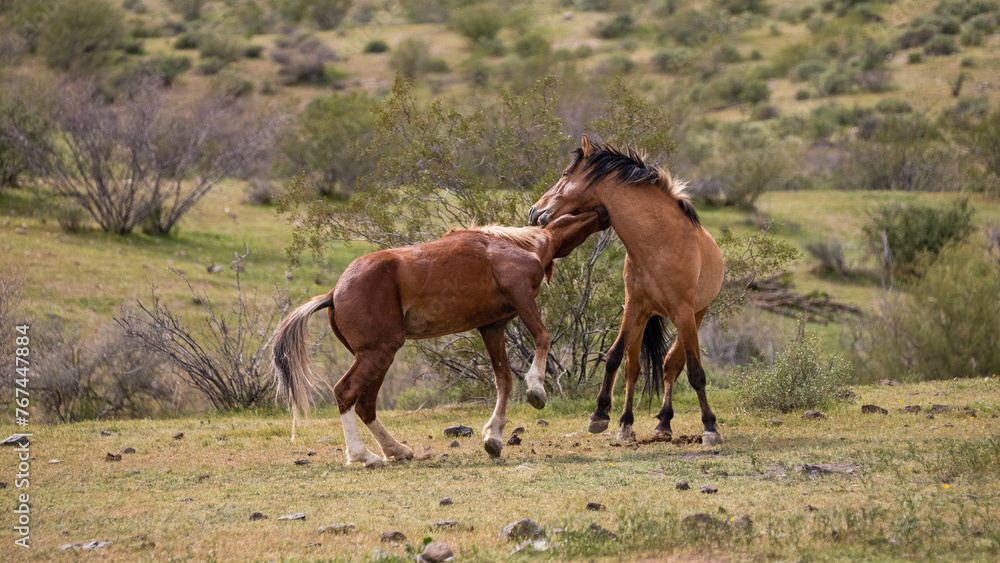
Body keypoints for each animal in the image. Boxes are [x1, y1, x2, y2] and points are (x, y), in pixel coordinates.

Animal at [272, 208, 610, 466]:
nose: (608, 218)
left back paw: (396, 450)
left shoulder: (493, 326)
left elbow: (503, 379)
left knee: (365, 404)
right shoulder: (521, 296)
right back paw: (363, 456)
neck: (524, 245)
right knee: (345, 393)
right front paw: (536, 391)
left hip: (379, 356)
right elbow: (542, 337)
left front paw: (494, 438)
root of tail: (334, 292)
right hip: (376, 354)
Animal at [529, 136, 725, 445]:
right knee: (634, 369)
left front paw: (710, 427)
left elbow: (694, 372)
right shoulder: (634, 306)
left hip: (696, 315)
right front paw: (600, 415)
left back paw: (665, 422)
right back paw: (629, 423)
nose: (534, 211)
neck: (658, 242)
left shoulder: (683, 312)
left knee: (671, 366)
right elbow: (614, 358)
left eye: (564, 173)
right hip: (645, 318)